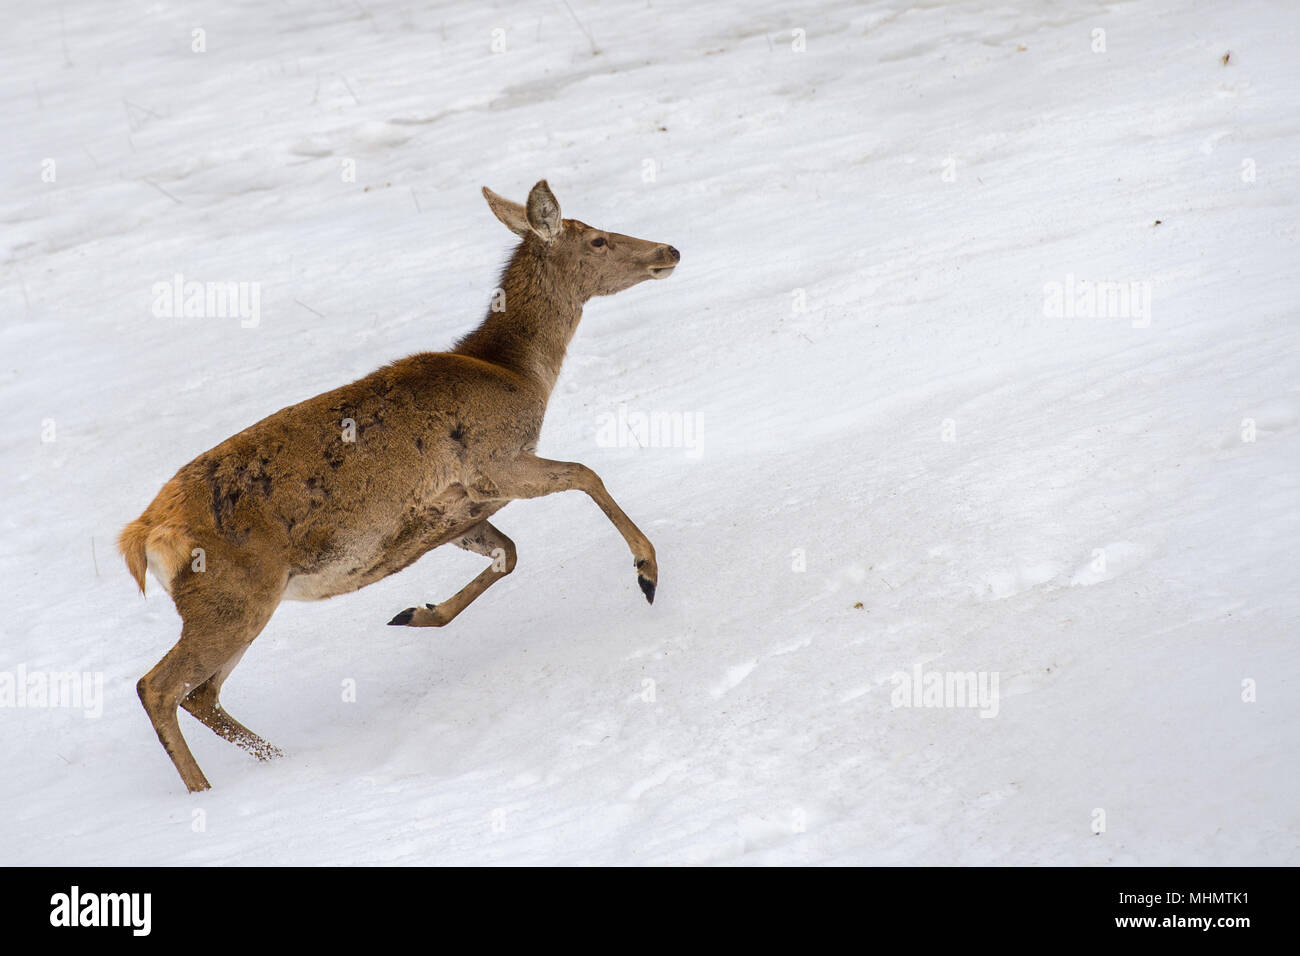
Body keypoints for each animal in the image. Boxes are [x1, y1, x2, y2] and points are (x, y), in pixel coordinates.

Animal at [118, 180, 680, 792]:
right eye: (598, 238)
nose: (669, 250)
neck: (518, 375)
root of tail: (142, 536)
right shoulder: (491, 462)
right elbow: (585, 473)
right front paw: (647, 572)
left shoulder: (455, 510)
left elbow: (507, 553)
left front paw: (416, 612)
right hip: (230, 598)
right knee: (158, 686)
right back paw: (206, 790)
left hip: (230, 607)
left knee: (201, 695)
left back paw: (280, 761)